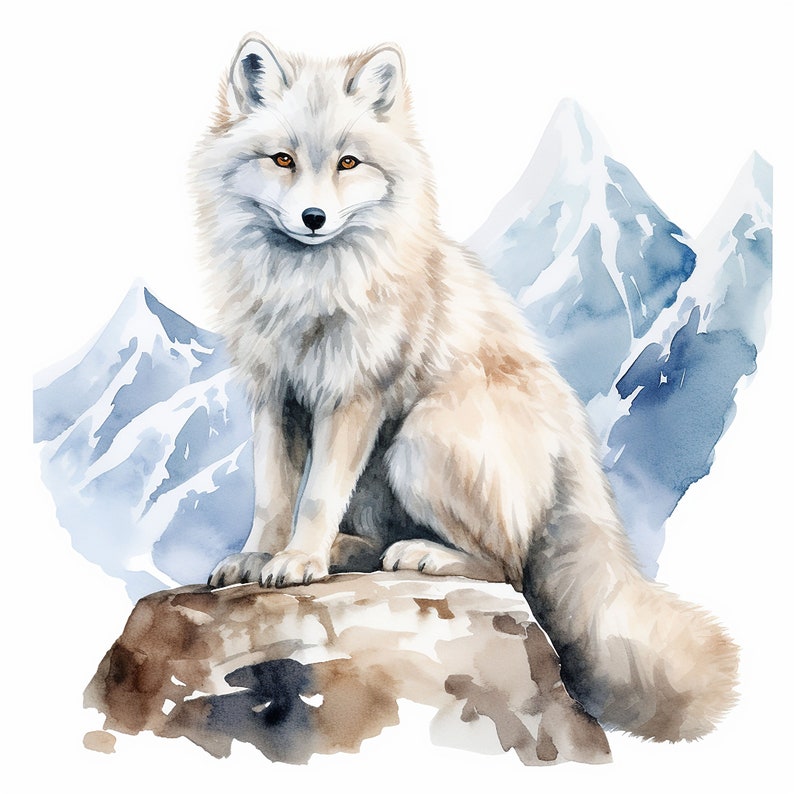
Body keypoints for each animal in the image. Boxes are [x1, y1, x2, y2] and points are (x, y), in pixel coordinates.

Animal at [193, 34, 739, 743]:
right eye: (282, 160)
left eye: (348, 162)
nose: (313, 217)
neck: (307, 292)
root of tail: (574, 449)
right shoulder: (273, 394)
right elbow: (271, 494)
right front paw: (259, 557)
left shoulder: (355, 394)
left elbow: (313, 498)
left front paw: (298, 561)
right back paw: (350, 551)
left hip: (419, 440)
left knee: (510, 568)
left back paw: (413, 555)